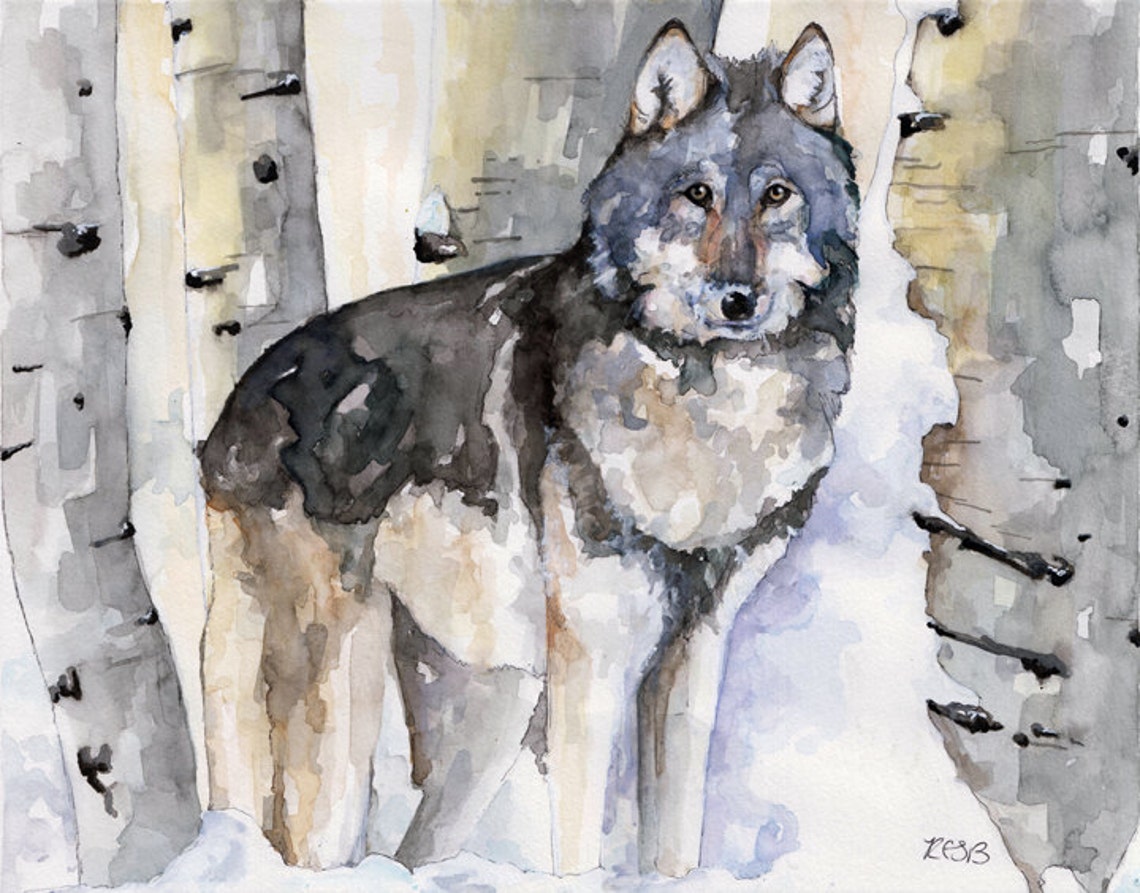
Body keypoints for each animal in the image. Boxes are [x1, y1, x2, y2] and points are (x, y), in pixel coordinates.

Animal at [198, 20, 858, 877]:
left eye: (777, 195)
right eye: (697, 195)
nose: (736, 299)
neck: (709, 411)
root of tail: (234, 412)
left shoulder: (692, 659)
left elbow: (674, 840)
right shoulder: (590, 667)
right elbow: (578, 846)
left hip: (488, 713)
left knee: (412, 850)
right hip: (346, 710)